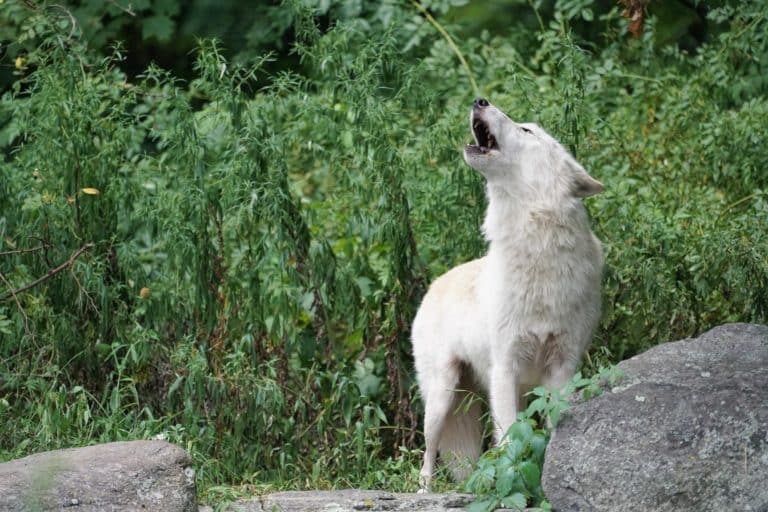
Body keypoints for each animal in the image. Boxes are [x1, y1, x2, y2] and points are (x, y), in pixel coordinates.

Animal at [411, 98, 604, 491]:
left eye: (527, 130)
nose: (480, 100)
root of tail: (434, 285)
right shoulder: (504, 367)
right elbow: (509, 437)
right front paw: (510, 481)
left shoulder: (563, 368)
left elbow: (552, 426)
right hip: (441, 397)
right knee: (428, 453)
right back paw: (425, 492)